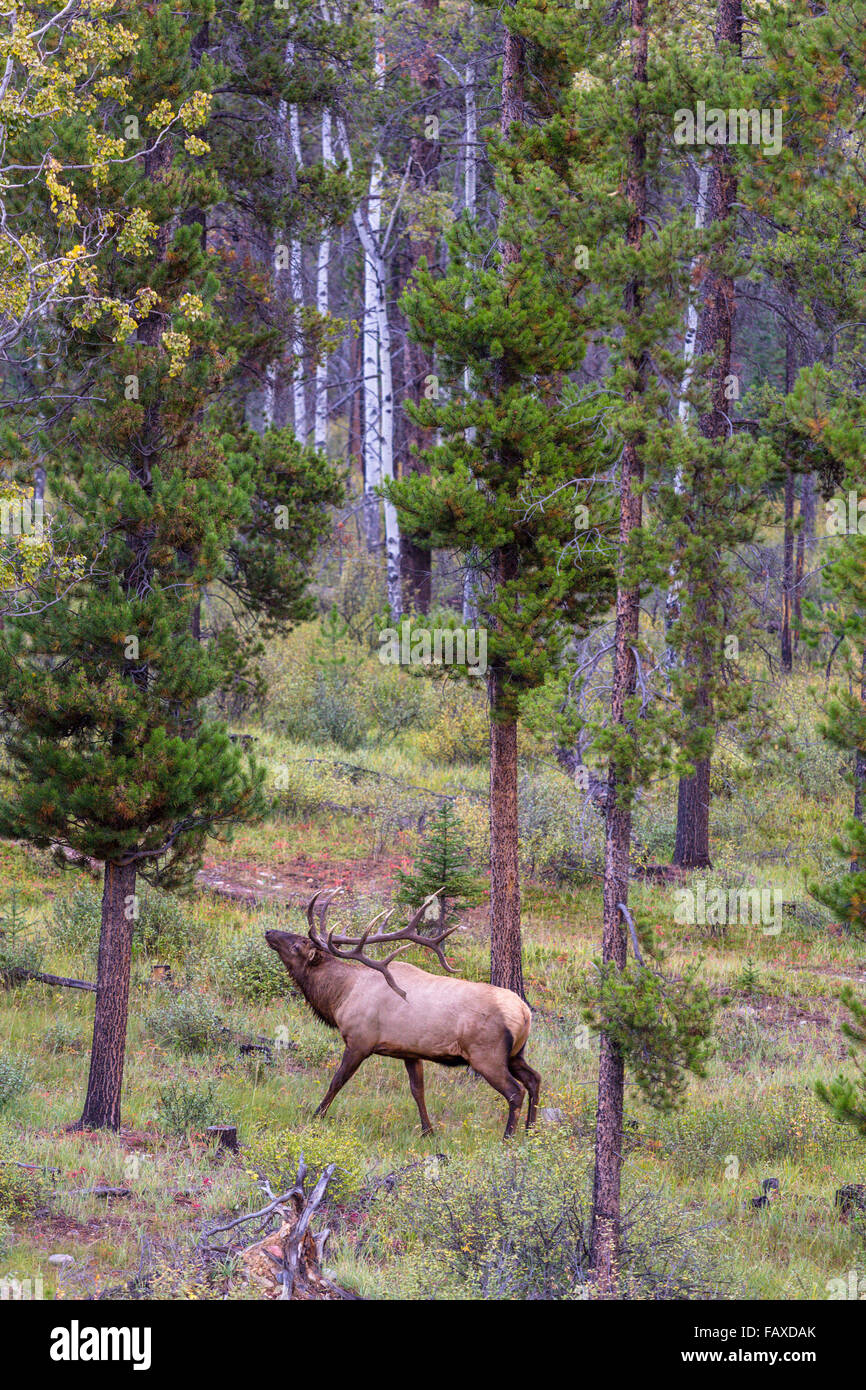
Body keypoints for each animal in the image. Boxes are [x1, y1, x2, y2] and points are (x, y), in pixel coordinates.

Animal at [265, 889, 540, 1138]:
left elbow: (337, 1081)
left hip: (487, 1054)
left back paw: (508, 1138)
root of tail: (524, 1013)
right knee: (535, 1079)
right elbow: (417, 1090)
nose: (268, 932)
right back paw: (532, 1132)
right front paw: (428, 1131)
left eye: (297, 944)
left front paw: (317, 1115)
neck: (339, 997)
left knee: (515, 1091)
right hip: (515, 1053)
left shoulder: (359, 1041)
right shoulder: (410, 1050)